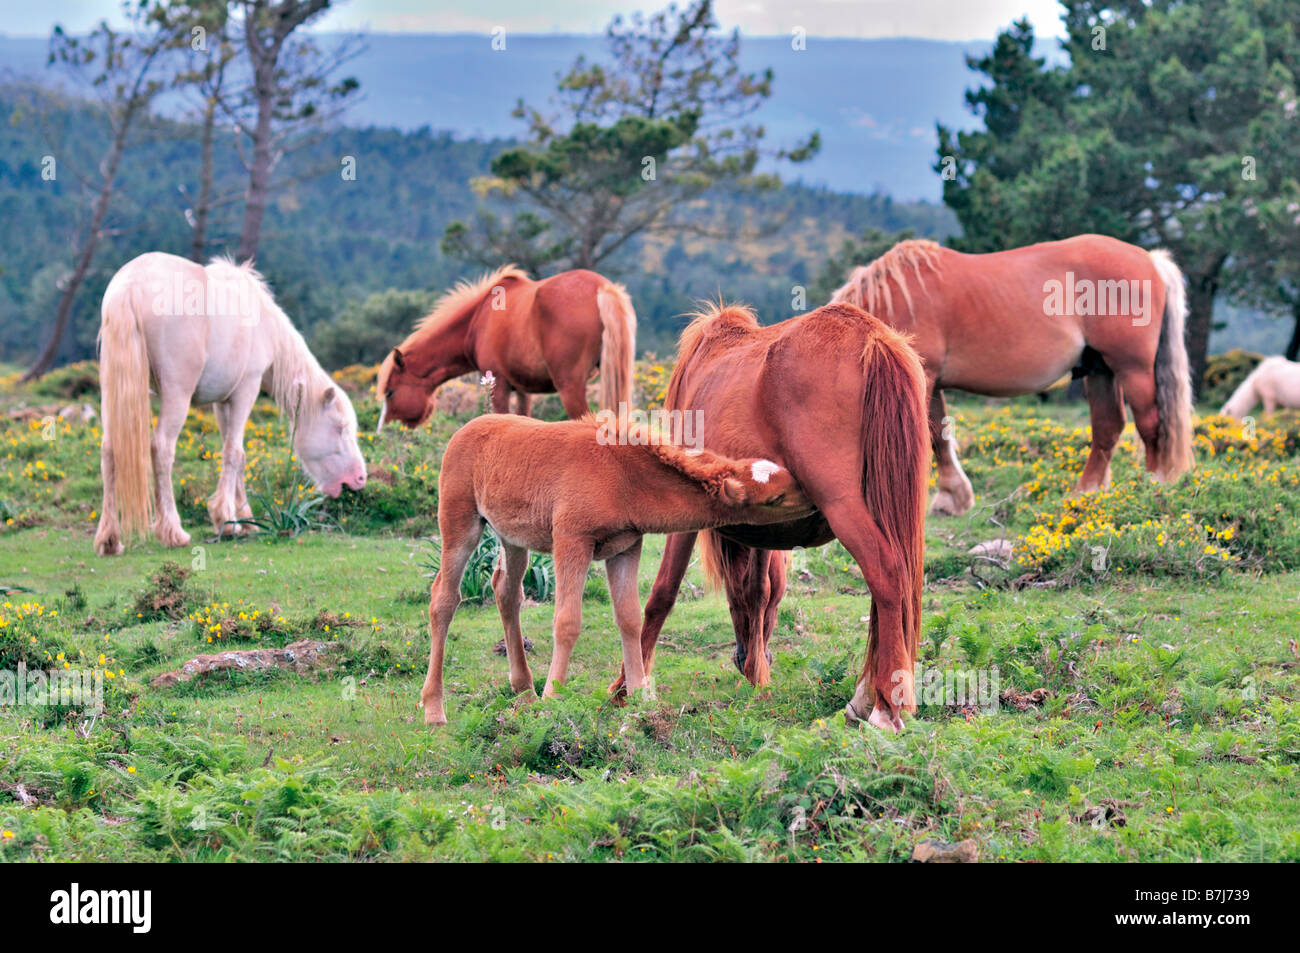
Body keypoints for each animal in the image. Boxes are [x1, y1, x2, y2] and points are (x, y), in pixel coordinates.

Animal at [92, 250, 366, 556]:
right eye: (340, 428)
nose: (360, 478)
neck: (264, 323)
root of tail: (130, 286)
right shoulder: (246, 390)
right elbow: (234, 452)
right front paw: (228, 520)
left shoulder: (222, 401)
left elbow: (236, 454)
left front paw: (244, 518)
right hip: (177, 394)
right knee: (161, 448)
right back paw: (173, 532)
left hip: (112, 391)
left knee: (109, 450)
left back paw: (110, 539)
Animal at [377, 260, 634, 423]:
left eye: (390, 393)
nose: (385, 431)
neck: (478, 318)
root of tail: (602, 288)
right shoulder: (523, 390)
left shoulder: (498, 384)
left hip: (570, 386)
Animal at [423, 413, 811, 722]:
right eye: (774, 498)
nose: (812, 497)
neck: (623, 476)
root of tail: (464, 431)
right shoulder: (571, 540)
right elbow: (567, 621)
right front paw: (553, 697)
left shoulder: (625, 547)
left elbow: (630, 619)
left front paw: (640, 696)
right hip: (460, 522)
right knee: (444, 598)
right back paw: (434, 710)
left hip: (512, 536)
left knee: (506, 590)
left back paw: (524, 689)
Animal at [611, 301, 930, 733]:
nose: (743, 658)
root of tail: (870, 336)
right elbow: (757, 591)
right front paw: (757, 676)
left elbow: (662, 594)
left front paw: (628, 685)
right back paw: (866, 695)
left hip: (845, 507)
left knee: (887, 575)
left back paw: (885, 706)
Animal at [826, 235, 1190, 517]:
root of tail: (1151, 260)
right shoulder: (932, 382)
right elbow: (939, 436)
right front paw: (953, 498)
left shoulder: (924, 377)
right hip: (1100, 369)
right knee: (1108, 428)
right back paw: (1086, 493)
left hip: (1132, 369)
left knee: (1150, 424)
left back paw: (1152, 485)